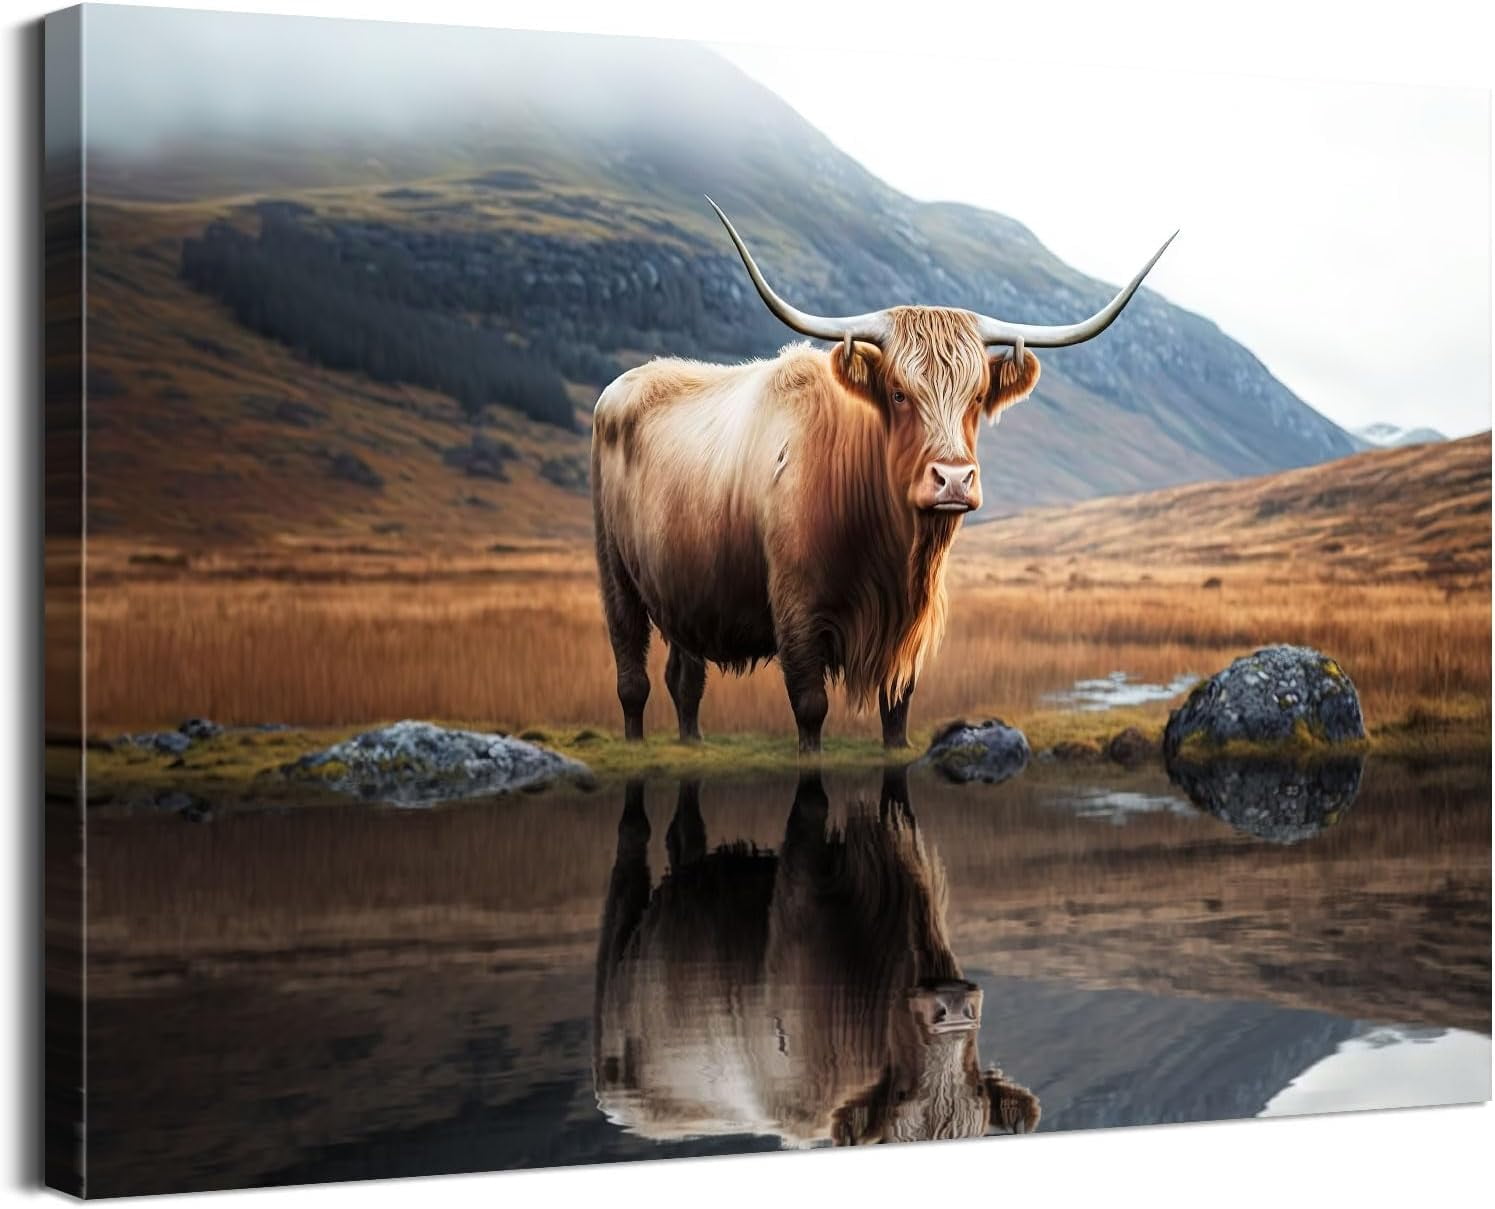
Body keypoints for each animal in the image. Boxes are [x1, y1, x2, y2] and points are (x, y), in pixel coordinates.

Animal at [592, 201, 1173, 751]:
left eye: (978, 396)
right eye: (897, 392)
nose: (954, 480)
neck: (890, 552)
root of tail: (630, 380)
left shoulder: (907, 634)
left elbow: (897, 711)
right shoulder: (797, 617)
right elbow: (810, 710)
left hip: (685, 591)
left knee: (684, 680)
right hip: (616, 576)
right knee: (632, 679)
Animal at [592, 769, 1041, 1147]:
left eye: (978, 1087)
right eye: (900, 1093)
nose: (953, 1007)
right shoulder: (799, 875)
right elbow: (812, 806)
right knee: (631, 838)